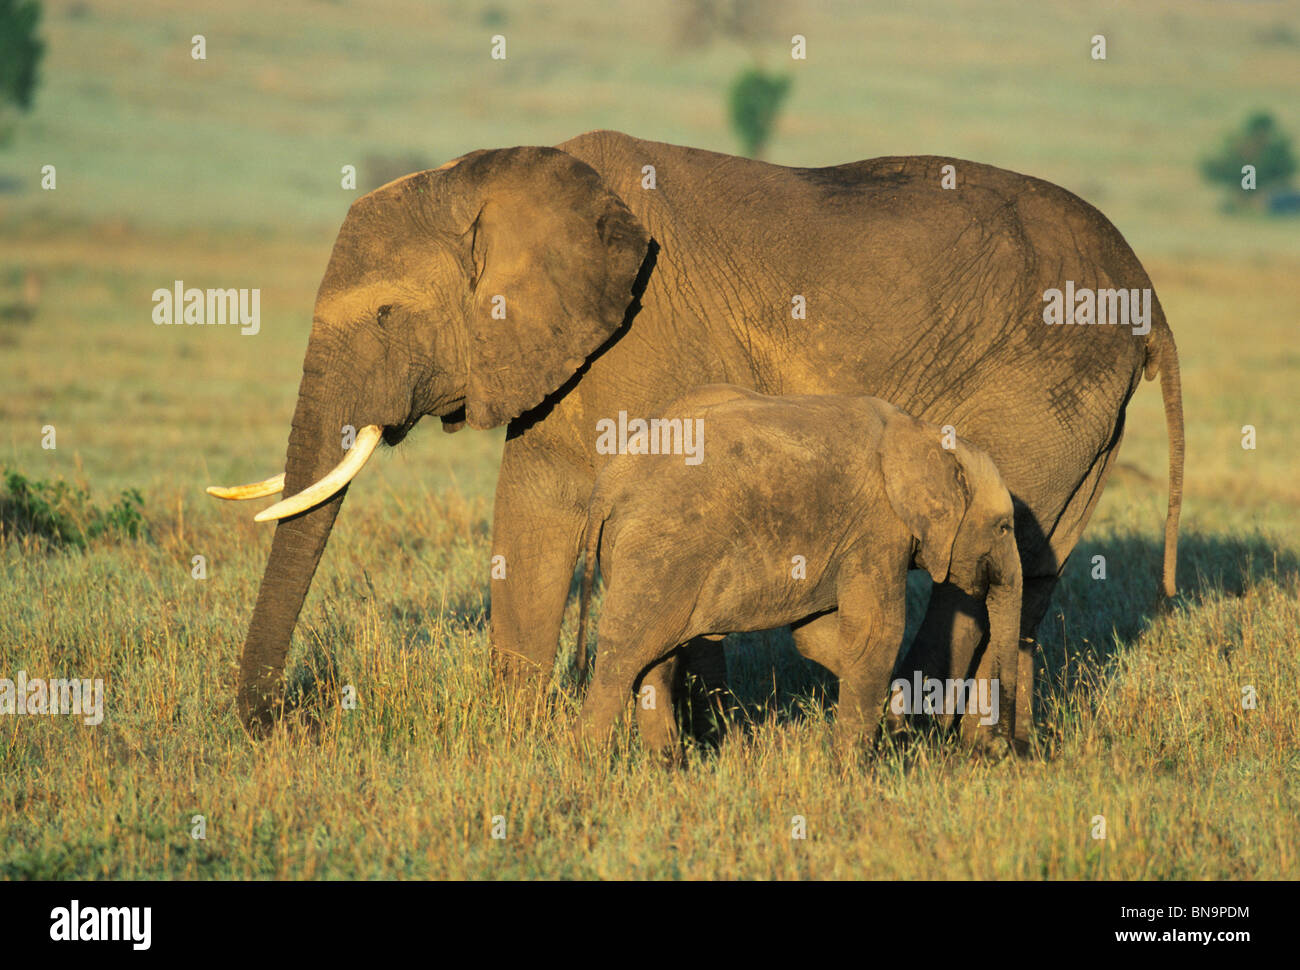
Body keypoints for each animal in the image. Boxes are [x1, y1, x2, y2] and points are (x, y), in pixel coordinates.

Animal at [572, 385, 1026, 759]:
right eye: (1004, 527)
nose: (1003, 748)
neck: (925, 434)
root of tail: (606, 486)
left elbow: (819, 636)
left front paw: (896, 716)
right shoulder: (877, 528)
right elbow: (873, 634)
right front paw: (854, 770)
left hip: (639, 555)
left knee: (657, 661)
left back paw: (668, 768)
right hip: (661, 551)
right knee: (622, 659)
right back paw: (590, 764)